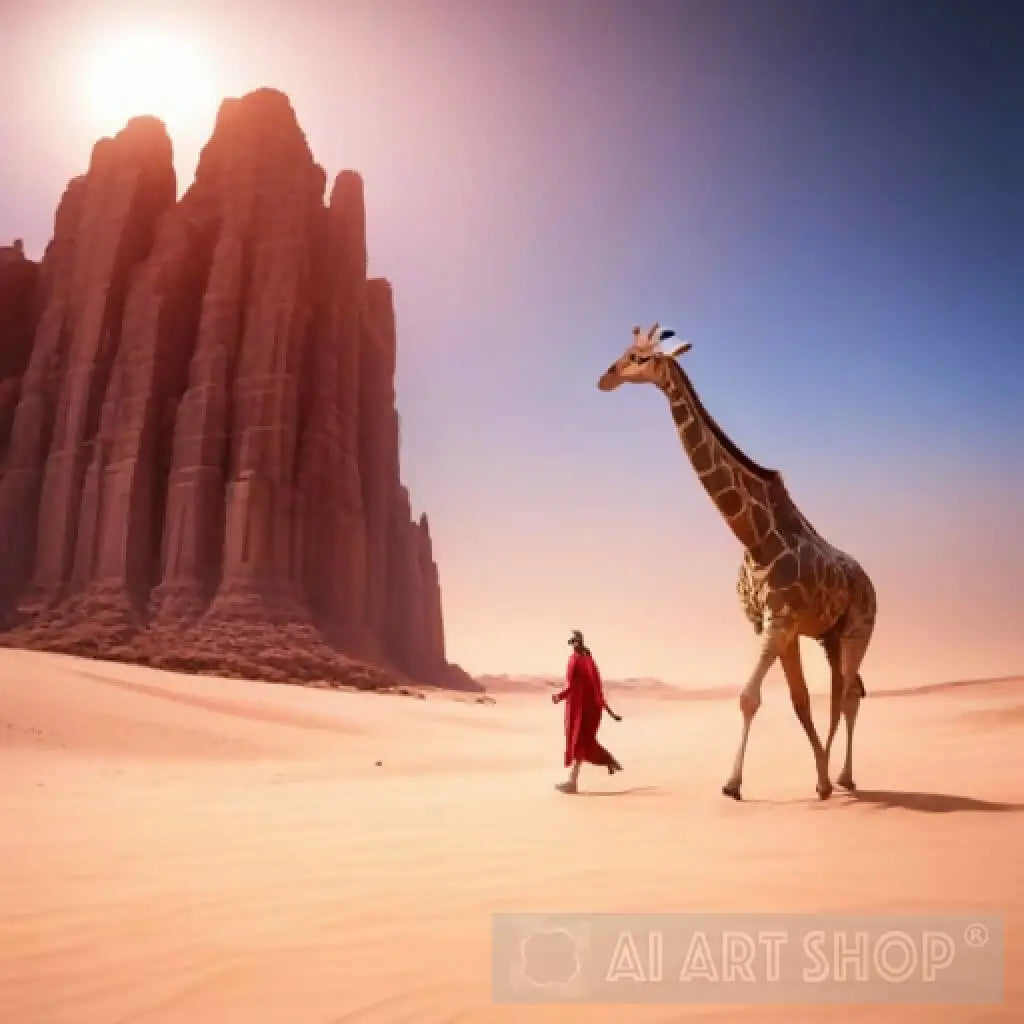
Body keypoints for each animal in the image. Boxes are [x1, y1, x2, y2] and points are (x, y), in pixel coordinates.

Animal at [597, 324, 877, 800]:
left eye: (640, 357)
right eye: (623, 352)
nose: (606, 378)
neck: (754, 538)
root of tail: (871, 581)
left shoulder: (780, 621)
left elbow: (750, 697)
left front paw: (732, 783)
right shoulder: (770, 623)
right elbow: (798, 700)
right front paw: (817, 779)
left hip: (859, 627)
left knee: (850, 694)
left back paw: (845, 777)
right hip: (830, 635)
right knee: (846, 690)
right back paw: (834, 777)